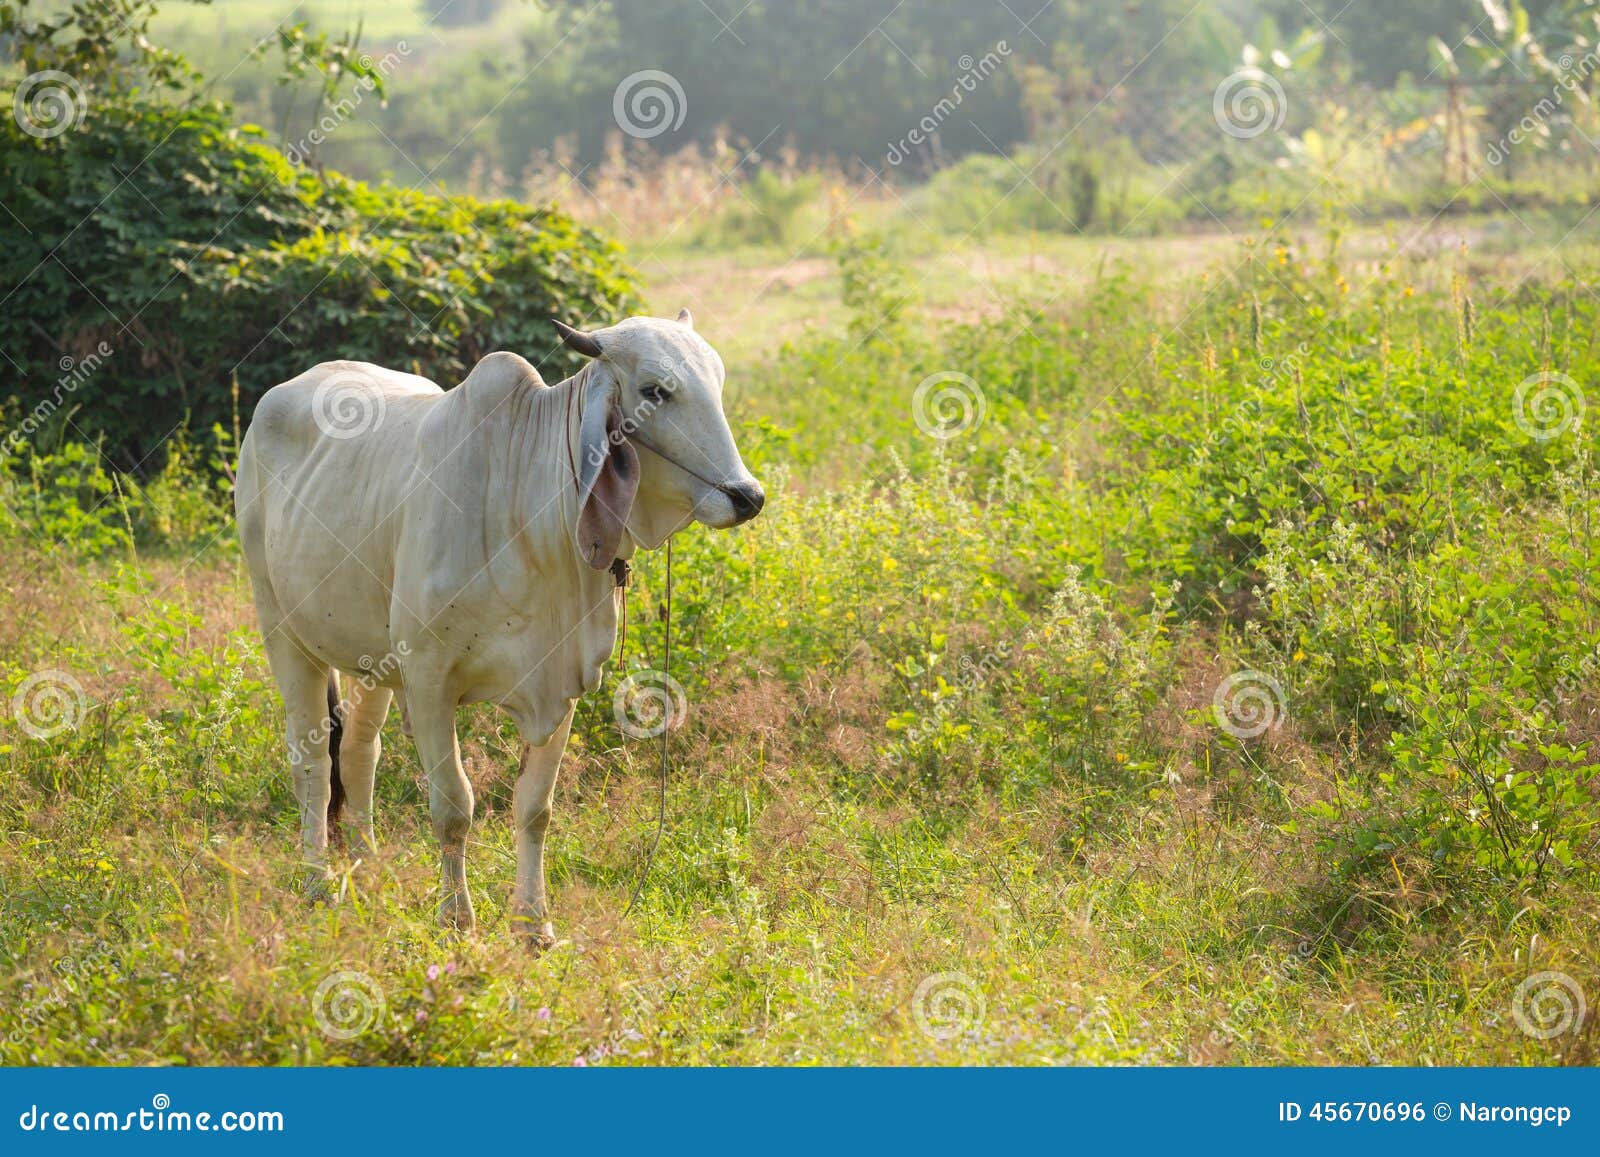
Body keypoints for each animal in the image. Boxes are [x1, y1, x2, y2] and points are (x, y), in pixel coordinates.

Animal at [234, 311, 763, 946]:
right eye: (655, 390)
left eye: (717, 381)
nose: (747, 496)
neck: (529, 510)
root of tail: (284, 393)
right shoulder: (430, 681)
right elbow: (453, 808)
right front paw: (455, 921)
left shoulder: (560, 682)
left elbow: (535, 808)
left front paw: (533, 925)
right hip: (283, 631)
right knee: (311, 760)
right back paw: (318, 884)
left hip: (368, 659)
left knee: (360, 755)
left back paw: (370, 872)